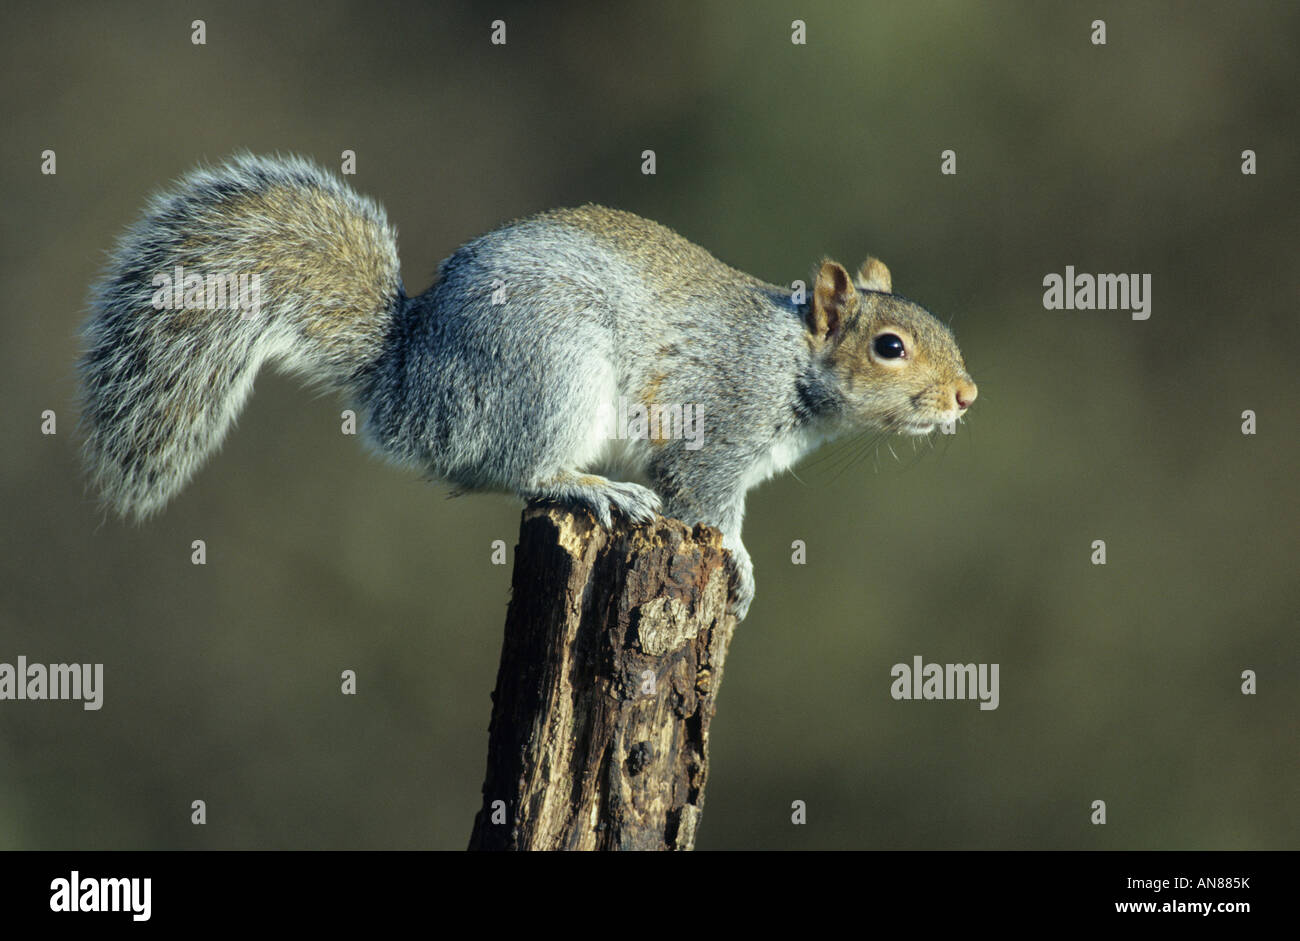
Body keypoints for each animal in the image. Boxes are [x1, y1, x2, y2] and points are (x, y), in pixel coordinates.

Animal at [79, 153, 977, 619]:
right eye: (890, 347)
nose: (967, 397)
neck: (789, 359)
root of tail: (409, 384)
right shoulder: (715, 426)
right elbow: (708, 506)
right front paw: (743, 563)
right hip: (552, 370)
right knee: (519, 468)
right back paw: (592, 486)